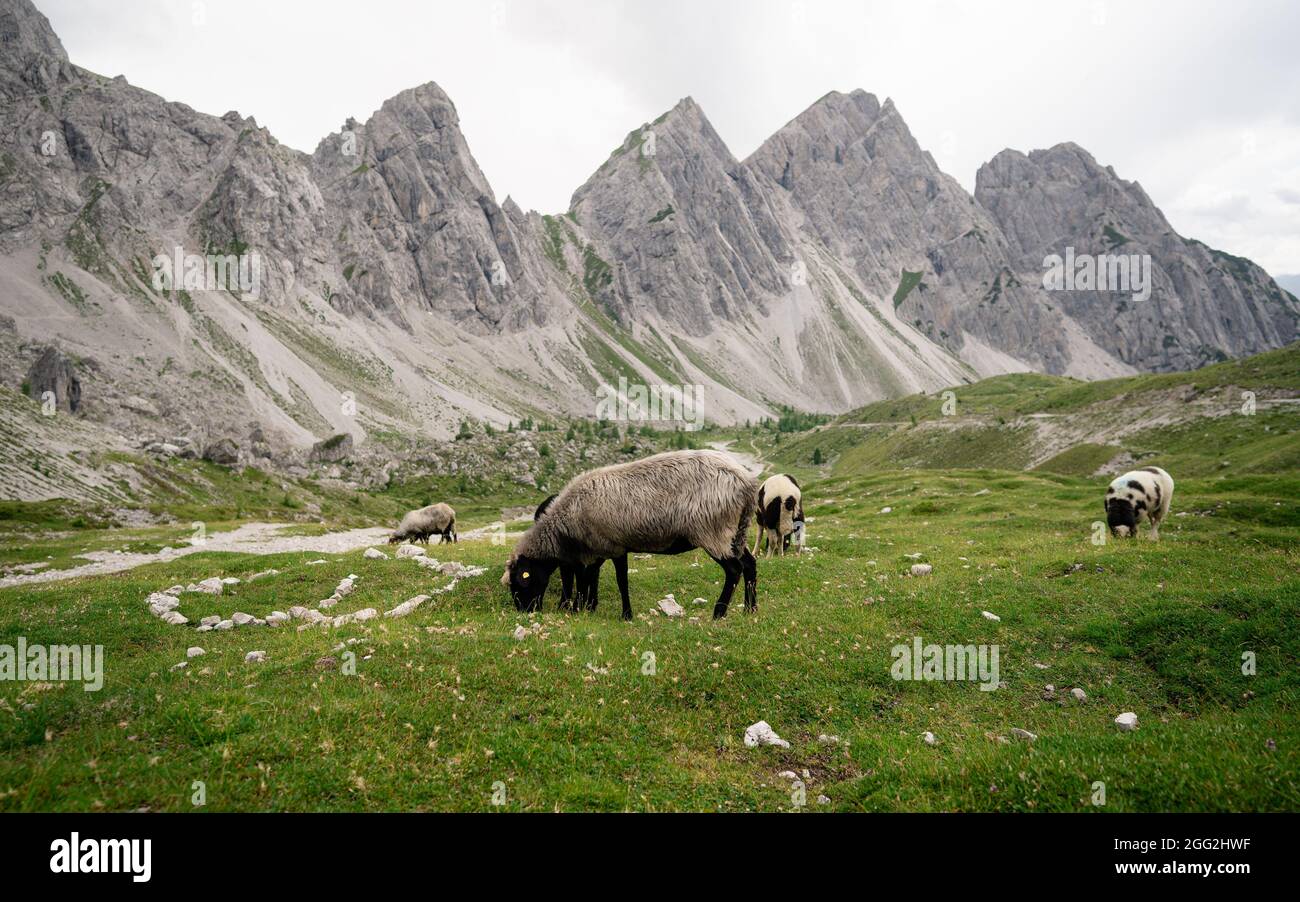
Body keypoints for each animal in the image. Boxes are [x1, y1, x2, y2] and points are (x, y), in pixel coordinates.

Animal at [504, 450, 758, 620]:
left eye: (521, 582)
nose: (525, 611)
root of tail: (746, 482)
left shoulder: (614, 546)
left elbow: (618, 581)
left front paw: (624, 614)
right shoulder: (599, 548)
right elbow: (590, 577)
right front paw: (586, 606)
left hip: (712, 531)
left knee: (734, 569)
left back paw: (719, 612)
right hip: (734, 533)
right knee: (749, 564)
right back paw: (750, 609)